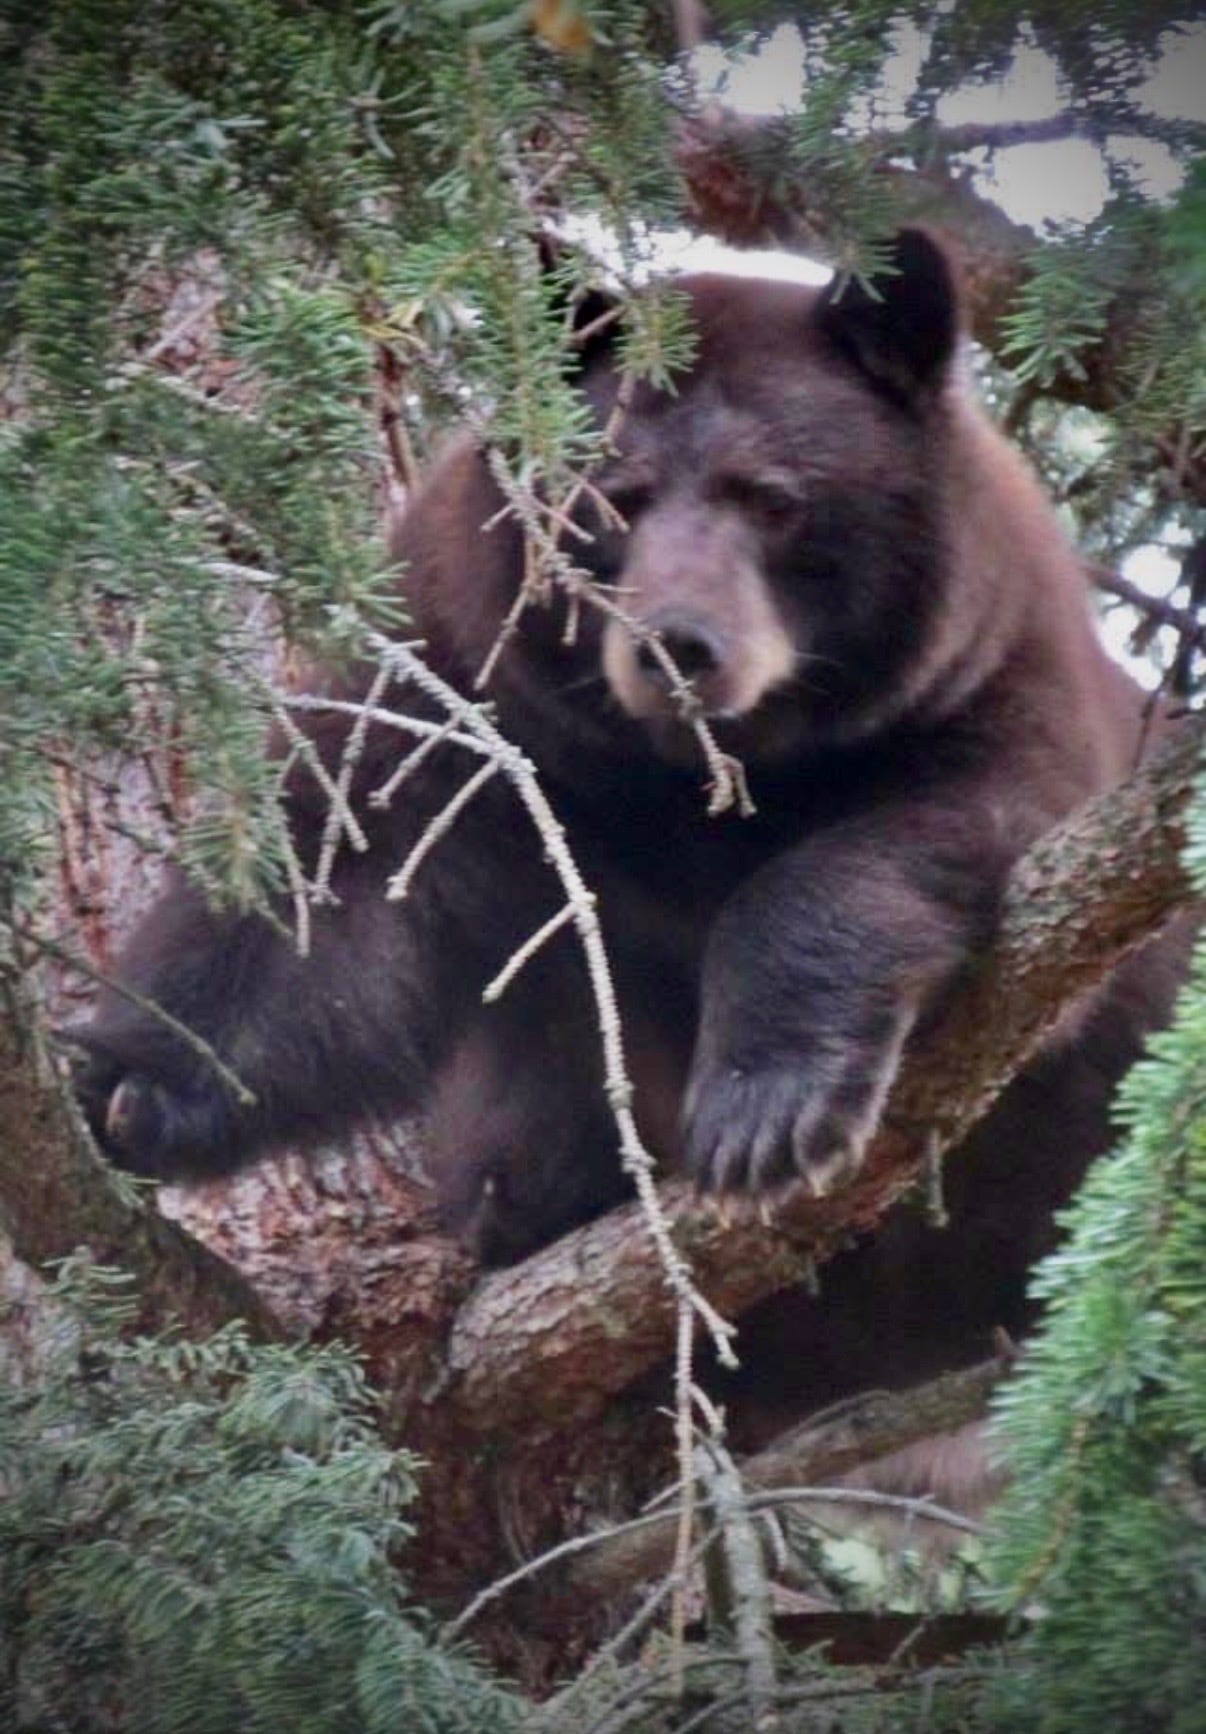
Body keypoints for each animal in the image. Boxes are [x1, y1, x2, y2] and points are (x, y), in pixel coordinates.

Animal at [73, 231, 1183, 1401]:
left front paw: (765, 1105)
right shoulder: (480, 707)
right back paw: (527, 1202)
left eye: (773, 498)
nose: (677, 644)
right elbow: (345, 886)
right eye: (613, 497)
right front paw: (130, 1082)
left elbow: (935, 835)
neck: (702, 777)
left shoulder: (991, 690)